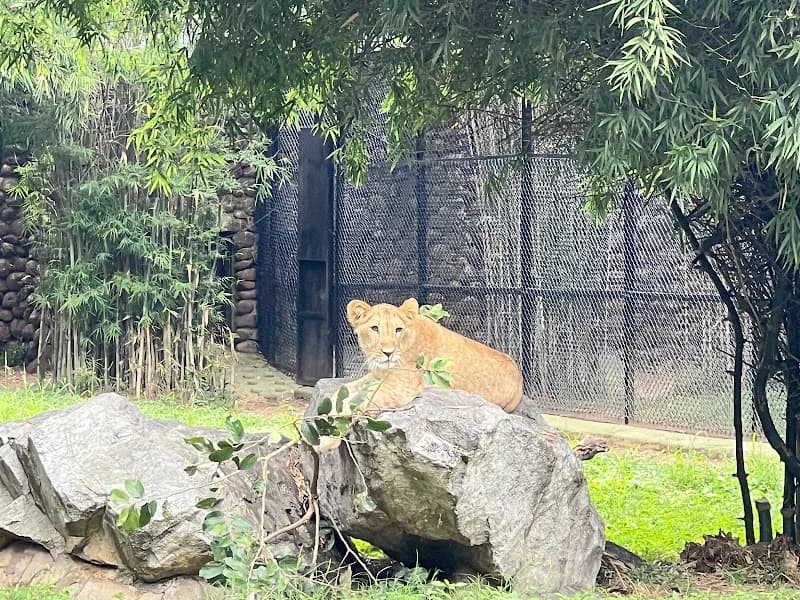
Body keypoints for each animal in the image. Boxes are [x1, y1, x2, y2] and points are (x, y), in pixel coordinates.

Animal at [344, 297, 523, 412]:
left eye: (398, 329)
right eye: (375, 328)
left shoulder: (400, 388)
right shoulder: (378, 375)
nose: (388, 353)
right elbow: (347, 388)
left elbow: (359, 402)